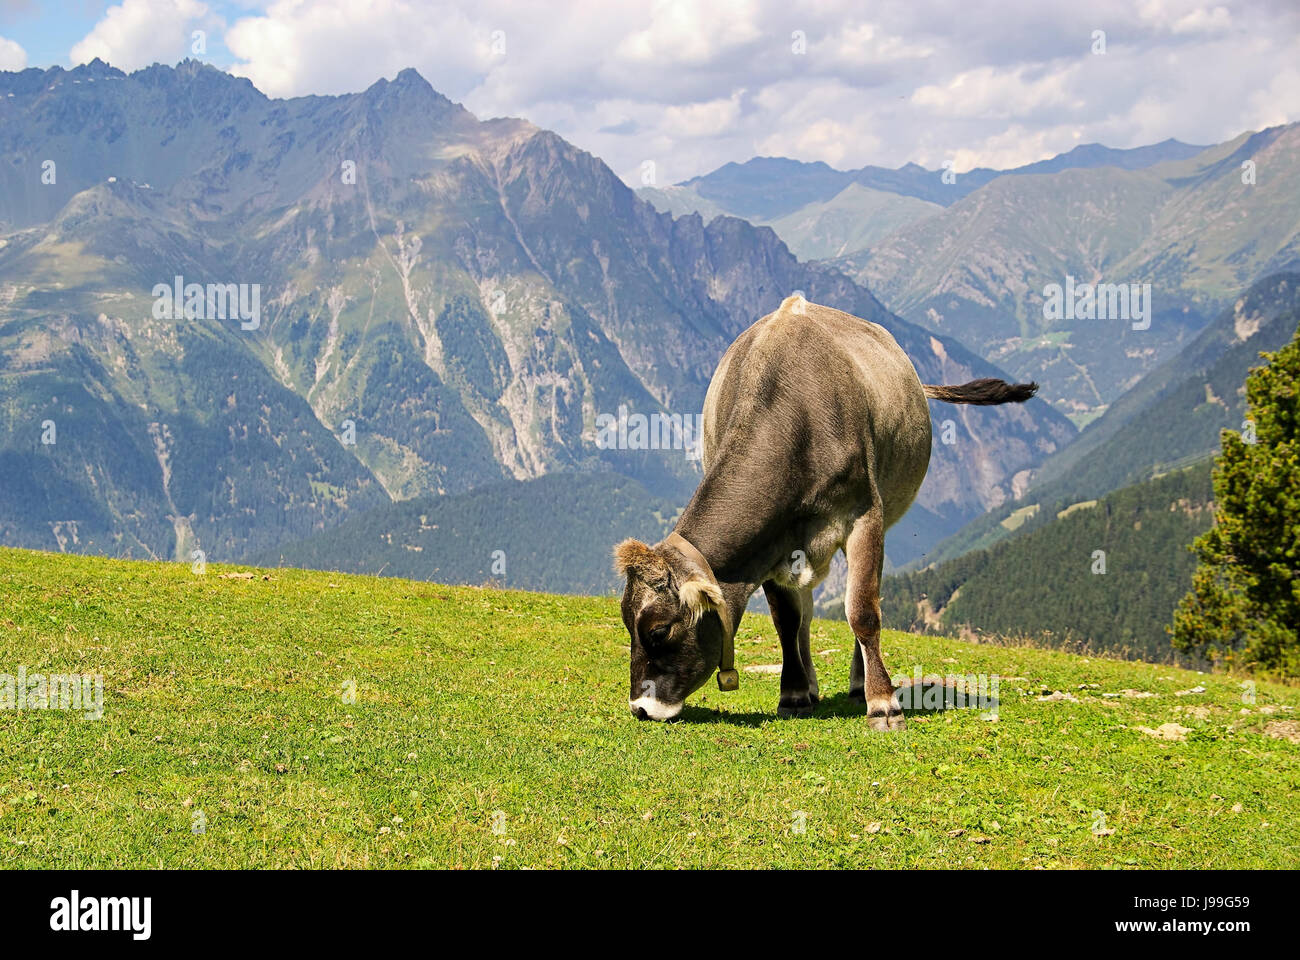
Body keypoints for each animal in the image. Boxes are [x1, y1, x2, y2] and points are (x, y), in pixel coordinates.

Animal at [614, 295, 1038, 729]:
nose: (640, 708)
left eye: (659, 630)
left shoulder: (864, 517)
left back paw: (859, 684)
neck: (793, 421)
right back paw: (812, 687)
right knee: (805, 612)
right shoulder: (772, 546)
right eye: (627, 624)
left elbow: (864, 611)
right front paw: (794, 693)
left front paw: (884, 704)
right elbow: (787, 620)